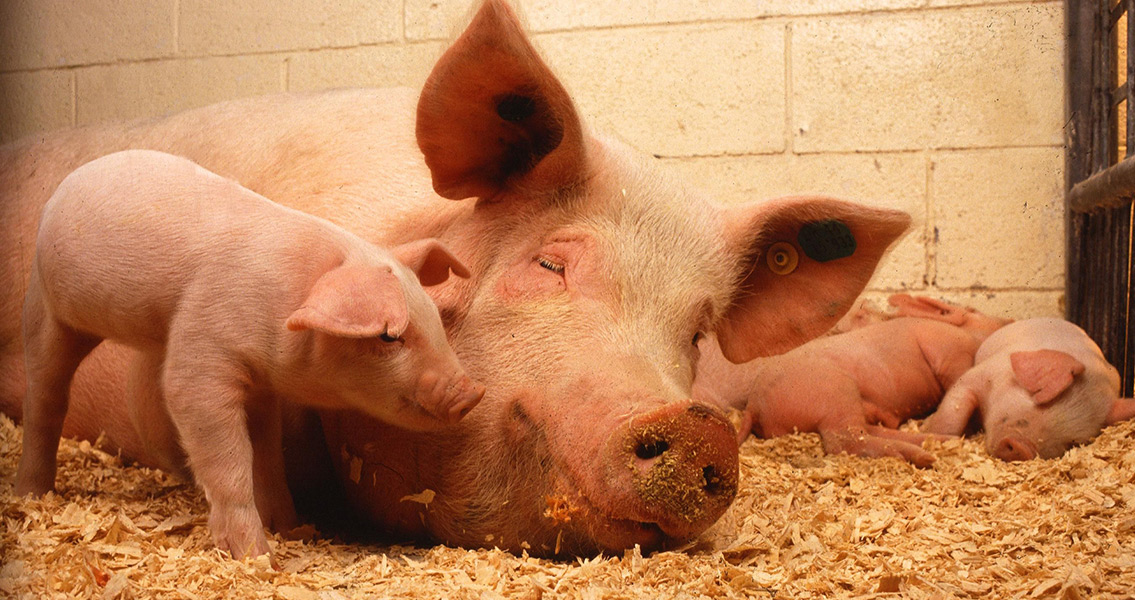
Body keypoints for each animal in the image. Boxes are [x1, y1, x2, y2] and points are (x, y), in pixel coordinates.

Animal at [14, 149, 484, 559]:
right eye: (389, 337)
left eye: (434, 318)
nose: (472, 393)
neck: (285, 307)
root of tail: (69, 182)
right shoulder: (201, 348)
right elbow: (226, 453)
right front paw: (257, 557)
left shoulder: (261, 385)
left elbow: (267, 455)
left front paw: (293, 529)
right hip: (46, 308)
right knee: (45, 396)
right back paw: (31, 493)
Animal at [693, 295, 1013, 467]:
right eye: (976, 312)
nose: (1008, 321)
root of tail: (754, 406)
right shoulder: (948, 349)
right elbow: (955, 377)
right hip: (835, 390)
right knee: (844, 440)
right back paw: (922, 456)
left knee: (865, 430)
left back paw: (934, 444)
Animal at [923, 317, 1135, 461]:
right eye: (1042, 400)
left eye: (1072, 442)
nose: (1022, 448)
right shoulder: (979, 375)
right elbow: (954, 413)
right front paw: (934, 434)